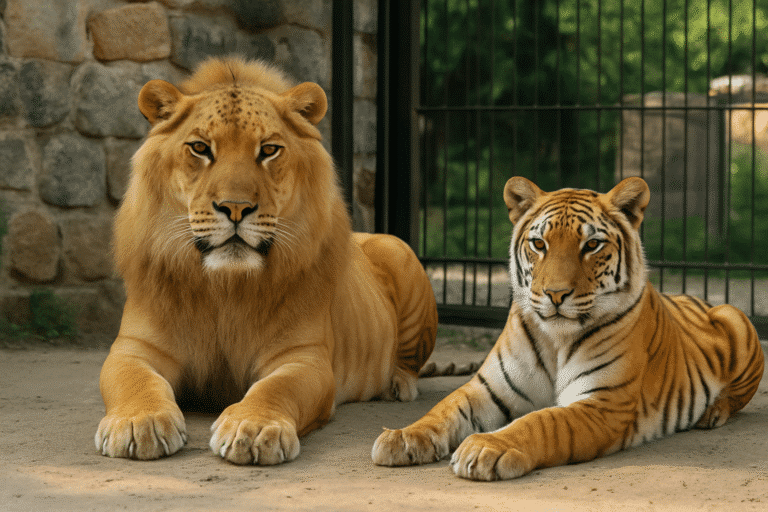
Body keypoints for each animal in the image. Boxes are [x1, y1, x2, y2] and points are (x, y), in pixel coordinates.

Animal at [95, 57, 437, 465]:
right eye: (200, 148)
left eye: (269, 150)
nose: (235, 207)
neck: (225, 287)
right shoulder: (134, 348)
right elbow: (135, 380)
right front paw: (138, 422)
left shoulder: (304, 358)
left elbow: (276, 389)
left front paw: (253, 427)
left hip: (398, 249)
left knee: (411, 364)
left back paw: (397, 385)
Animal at [372, 176, 764, 480]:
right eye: (538, 244)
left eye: (591, 245)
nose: (555, 295)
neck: (555, 340)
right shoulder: (488, 389)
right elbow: (444, 408)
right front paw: (402, 437)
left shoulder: (601, 403)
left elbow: (541, 422)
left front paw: (485, 447)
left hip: (734, 317)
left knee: (736, 398)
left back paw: (712, 412)